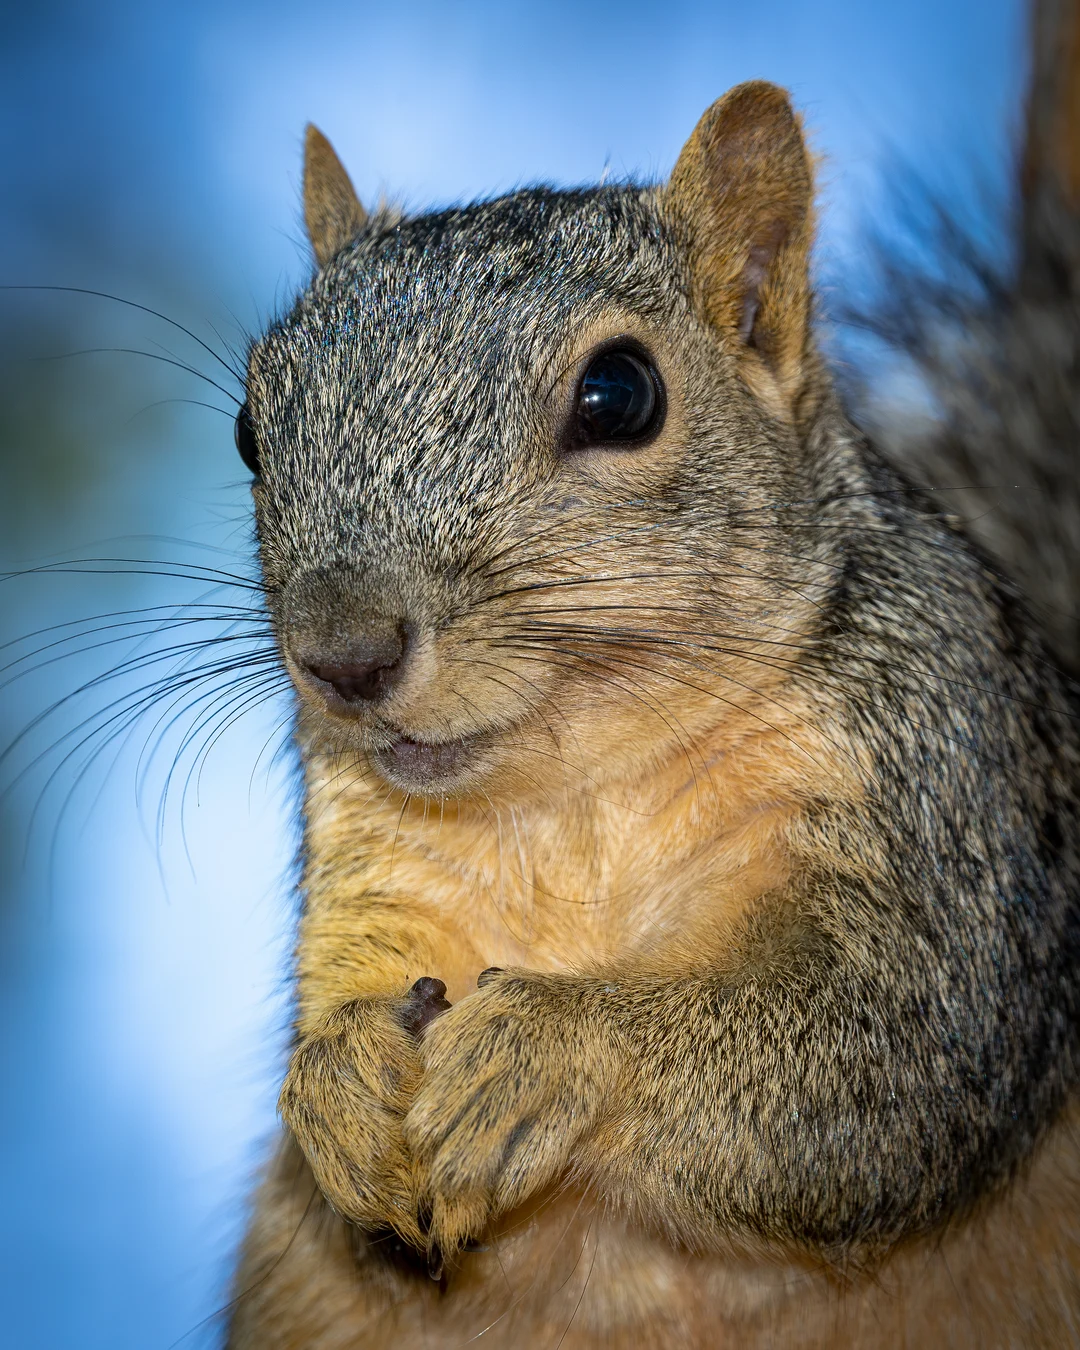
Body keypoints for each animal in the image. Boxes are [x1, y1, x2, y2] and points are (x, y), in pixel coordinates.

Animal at [224, 16, 1080, 1350]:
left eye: (619, 394)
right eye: (251, 431)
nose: (343, 656)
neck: (579, 786)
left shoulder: (947, 804)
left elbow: (887, 1069)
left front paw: (550, 1051)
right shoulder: (377, 866)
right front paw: (341, 1088)